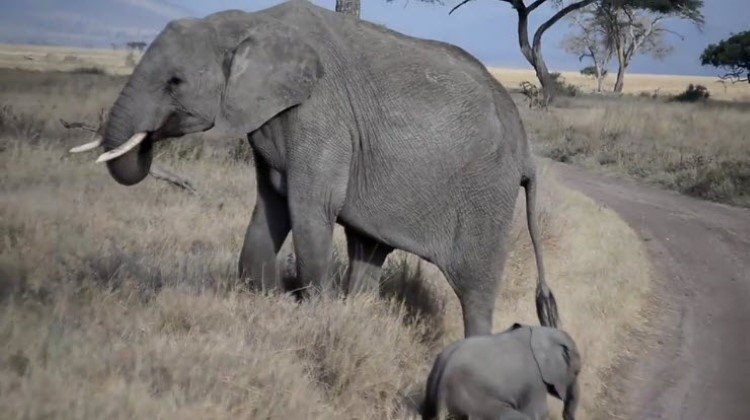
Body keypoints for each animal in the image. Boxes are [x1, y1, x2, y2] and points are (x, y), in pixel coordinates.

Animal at [71, 0, 559, 336]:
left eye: (175, 82)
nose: (149, 141)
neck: (249, 21)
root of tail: (527, 150)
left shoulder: (320, 115)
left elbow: (310, 208)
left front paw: (313, 315)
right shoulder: (270, 119)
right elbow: (271, 206)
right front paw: (266, 300)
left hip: (486, 196)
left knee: (474, 290)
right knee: (368, 251)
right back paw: (357, 314)